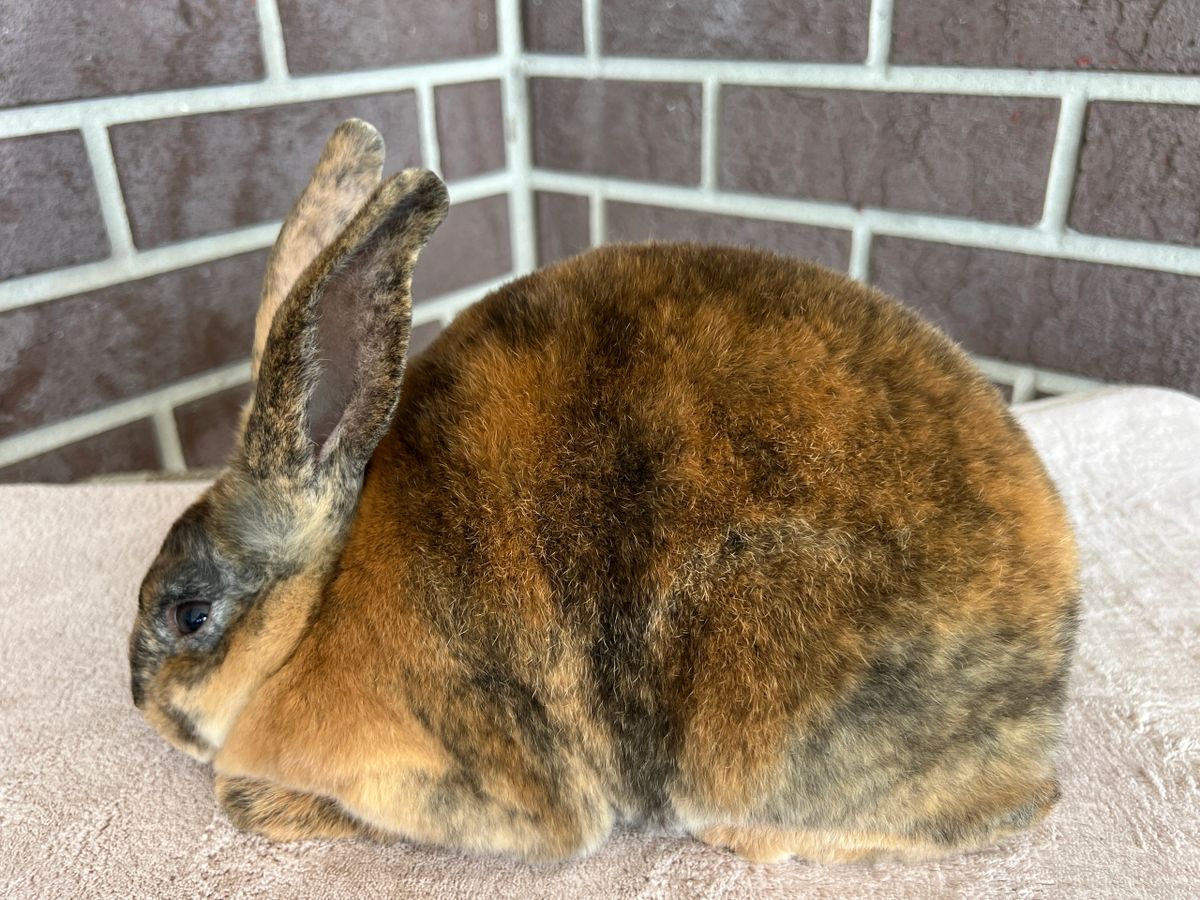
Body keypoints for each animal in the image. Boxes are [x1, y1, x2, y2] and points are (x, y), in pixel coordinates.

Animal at [128, 118, 1079, 865]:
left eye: (190, 616)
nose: (141, 704)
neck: (319, 608)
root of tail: (1054, 646)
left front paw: (254, 799)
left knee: (1011, 811)